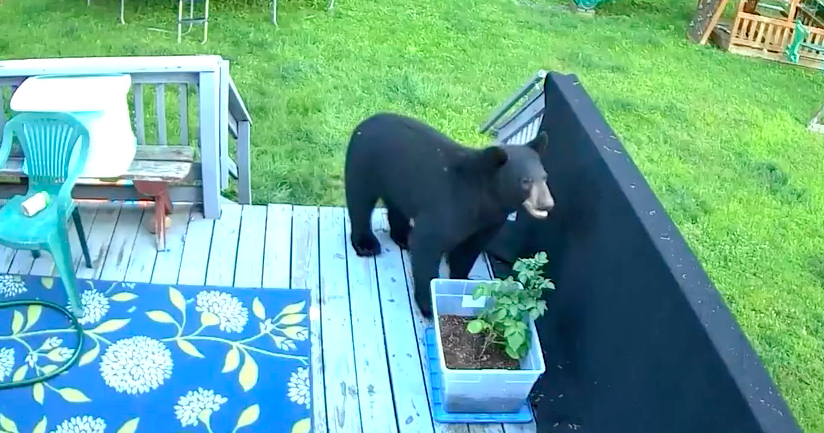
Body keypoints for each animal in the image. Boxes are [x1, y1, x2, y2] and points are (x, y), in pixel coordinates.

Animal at [344, 112, 554, 319]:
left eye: (544, 177)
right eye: (526, 181)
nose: (547, 203)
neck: (486, 201)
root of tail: (366, 121)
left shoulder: (489, 223)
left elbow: (469, 250)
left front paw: (462, 282)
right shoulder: (450, 206)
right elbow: (427, 243)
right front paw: (428, 304)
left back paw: (402, 236)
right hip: (364, 164)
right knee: (360, 201)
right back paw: (366, 244)